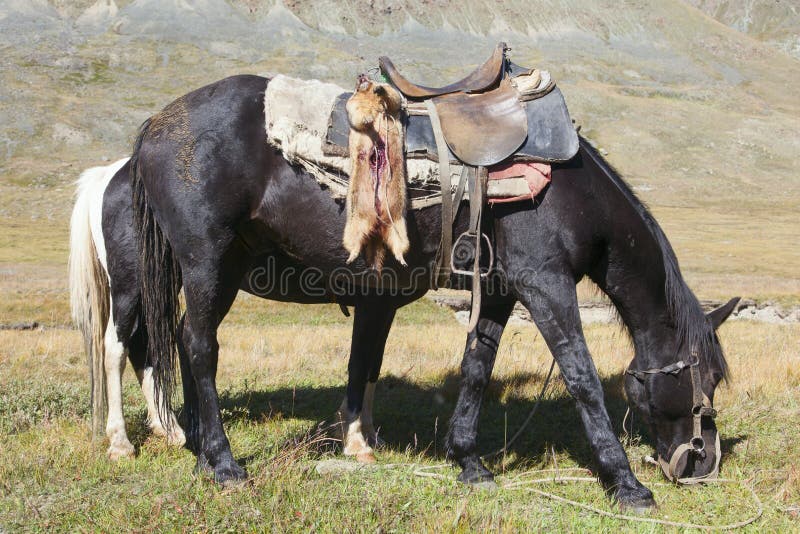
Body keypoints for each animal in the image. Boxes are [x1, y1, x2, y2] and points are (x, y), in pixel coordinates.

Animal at [69, 158, 186, 458]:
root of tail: (107, 175)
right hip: (131, 284)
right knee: (116, 349)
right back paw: (121, 442)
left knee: (141, 346)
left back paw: (169, 429)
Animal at [106, 73, 736, 509]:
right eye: (704, 381)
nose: (701, 464)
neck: (568, 193)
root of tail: (154, 128)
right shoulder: (545, 282)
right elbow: (580, 375)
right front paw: (626, 484)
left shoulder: (499, 290)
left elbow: (476, 369)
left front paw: (469, 462)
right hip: (206, 262)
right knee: (199, 347)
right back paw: (223, 463)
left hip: (216, 270)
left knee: (183, 341)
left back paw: (198, 451)